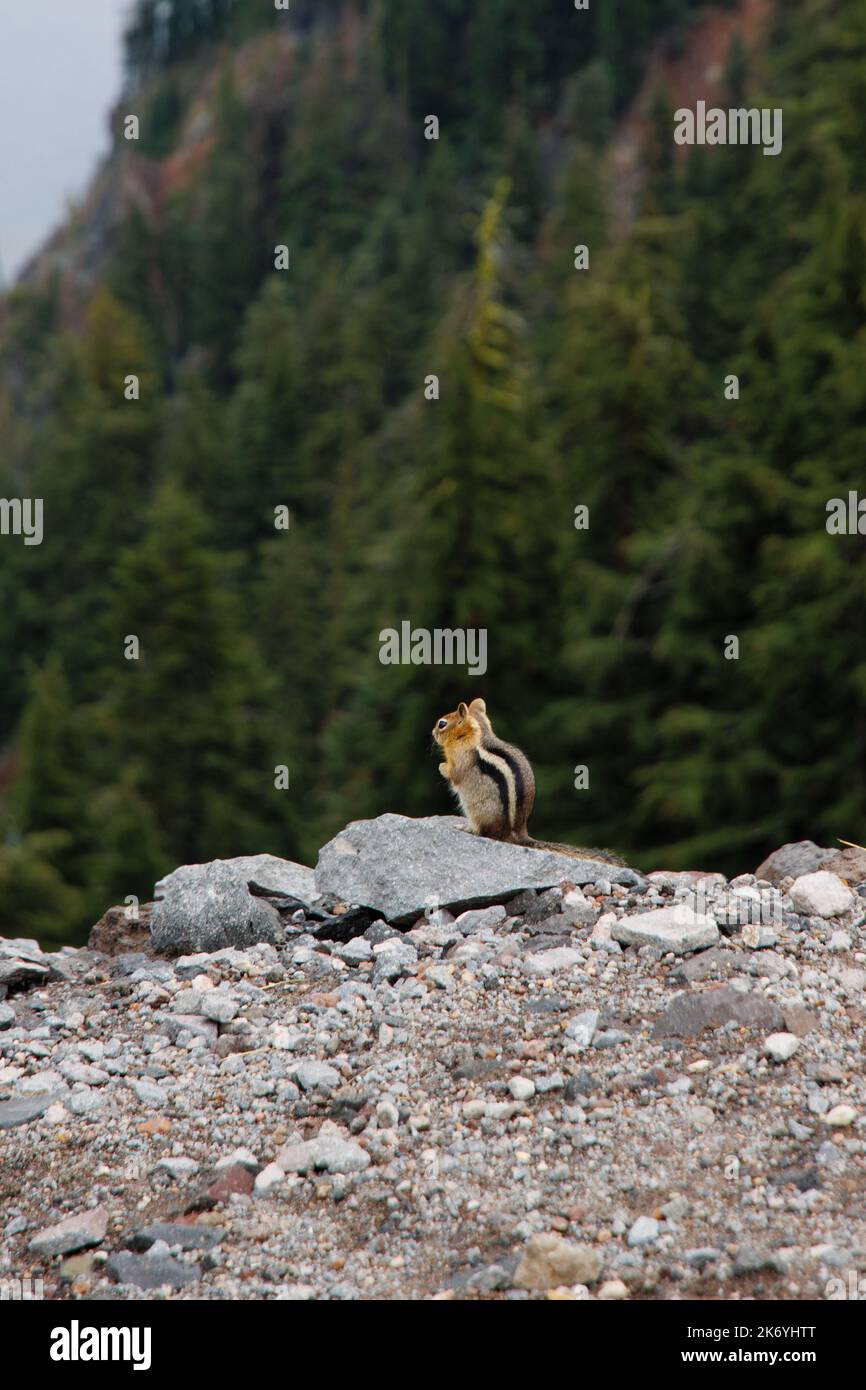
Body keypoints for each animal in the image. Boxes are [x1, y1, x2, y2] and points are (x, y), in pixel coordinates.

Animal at [432, 698, 625, 865]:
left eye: (442, 724)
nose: (433, 732)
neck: (478, 733)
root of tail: (519, 832)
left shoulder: (462, 758)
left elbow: (454, 773)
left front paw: (441, 766)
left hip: (476, 809)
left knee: (483, 832)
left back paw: (465, 827)